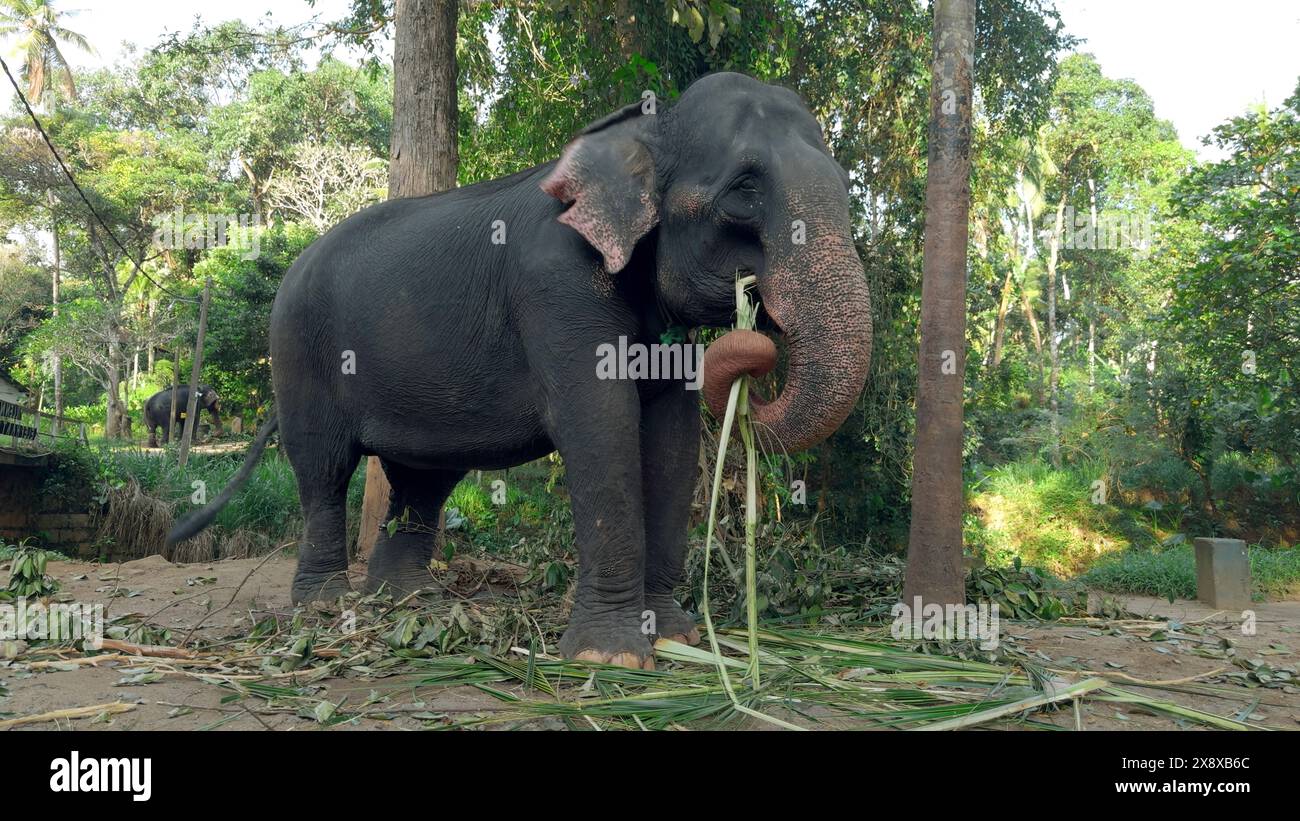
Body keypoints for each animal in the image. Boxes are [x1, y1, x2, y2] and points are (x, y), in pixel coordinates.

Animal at [169, 72, 872, 670]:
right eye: (744, 192)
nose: (756, 323)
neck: (645, 127)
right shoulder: (556, 285)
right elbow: (600, 423)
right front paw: (609, 658)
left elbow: (670, 436)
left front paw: (676, 638)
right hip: (299, 350)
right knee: (323, 469)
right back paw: (325, 604)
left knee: (423, 478)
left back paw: (409, 601)